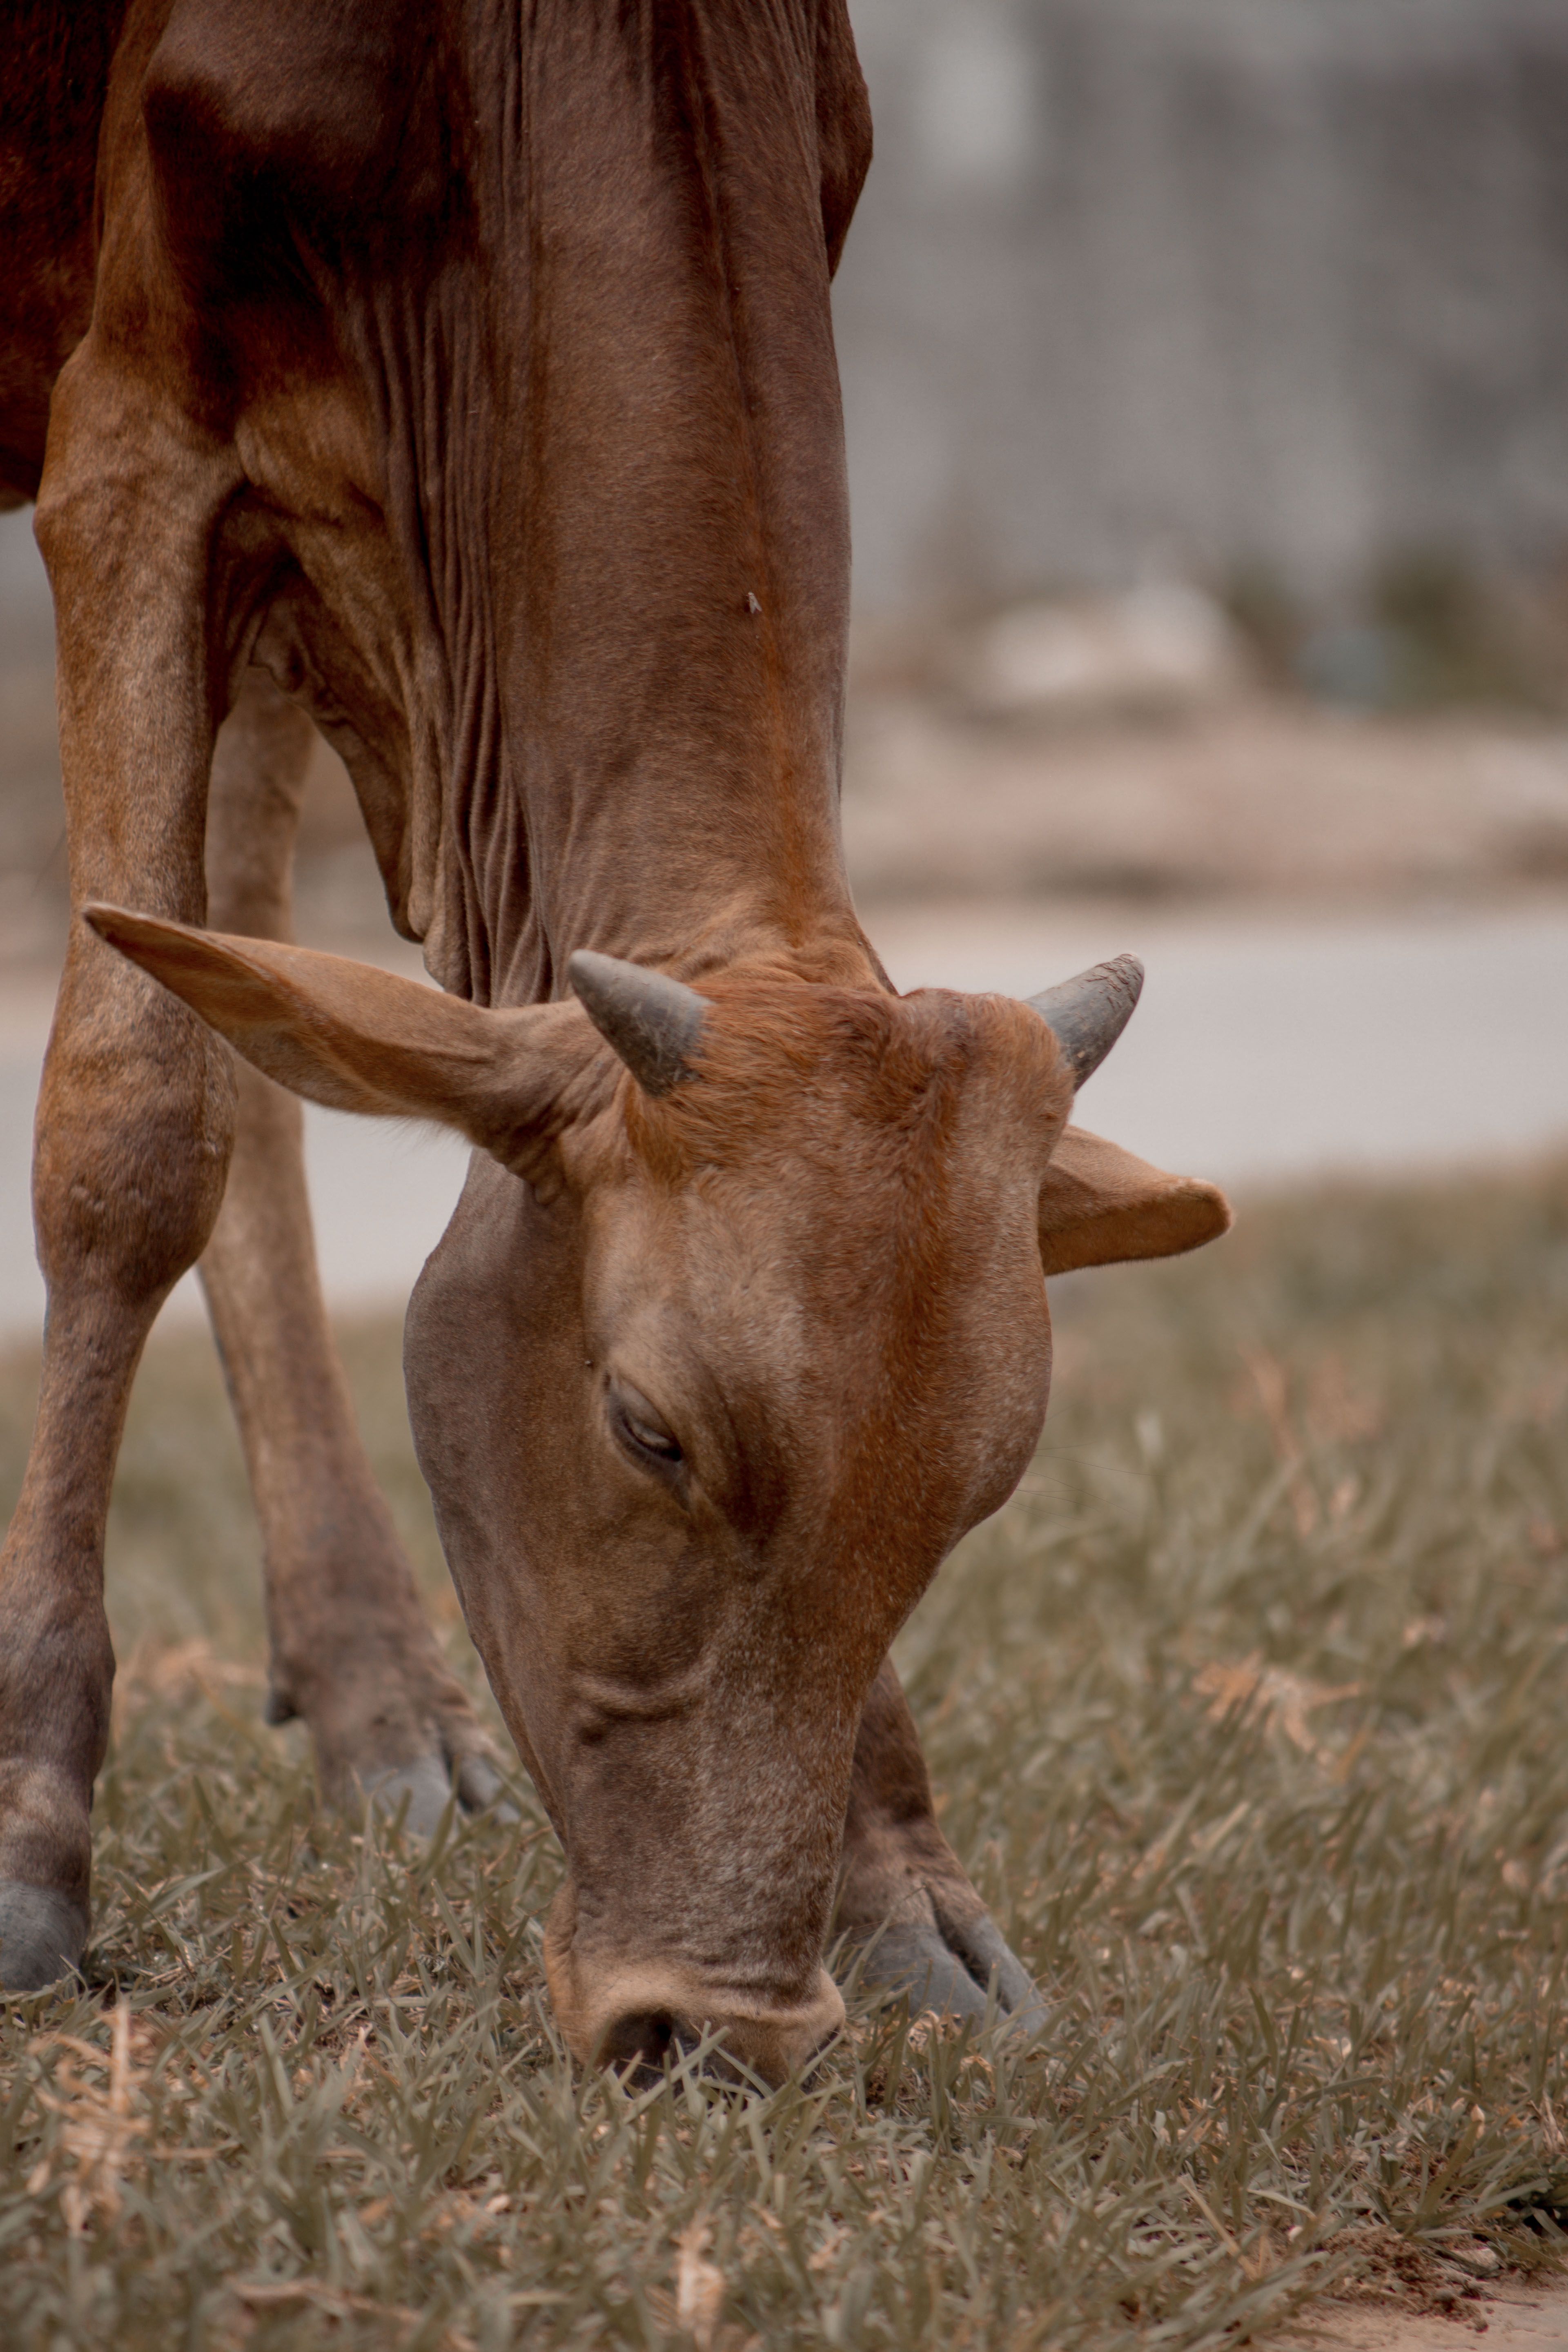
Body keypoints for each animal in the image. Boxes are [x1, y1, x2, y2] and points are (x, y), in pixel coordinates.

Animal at [0, 0, 1230, 2080]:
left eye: (976, 1487)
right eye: (648, 1431)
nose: (709, 2022)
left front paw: (902, 1896)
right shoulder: (137, 433)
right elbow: (132, 1125)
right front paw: (28, 1838)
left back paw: (381, 1695)